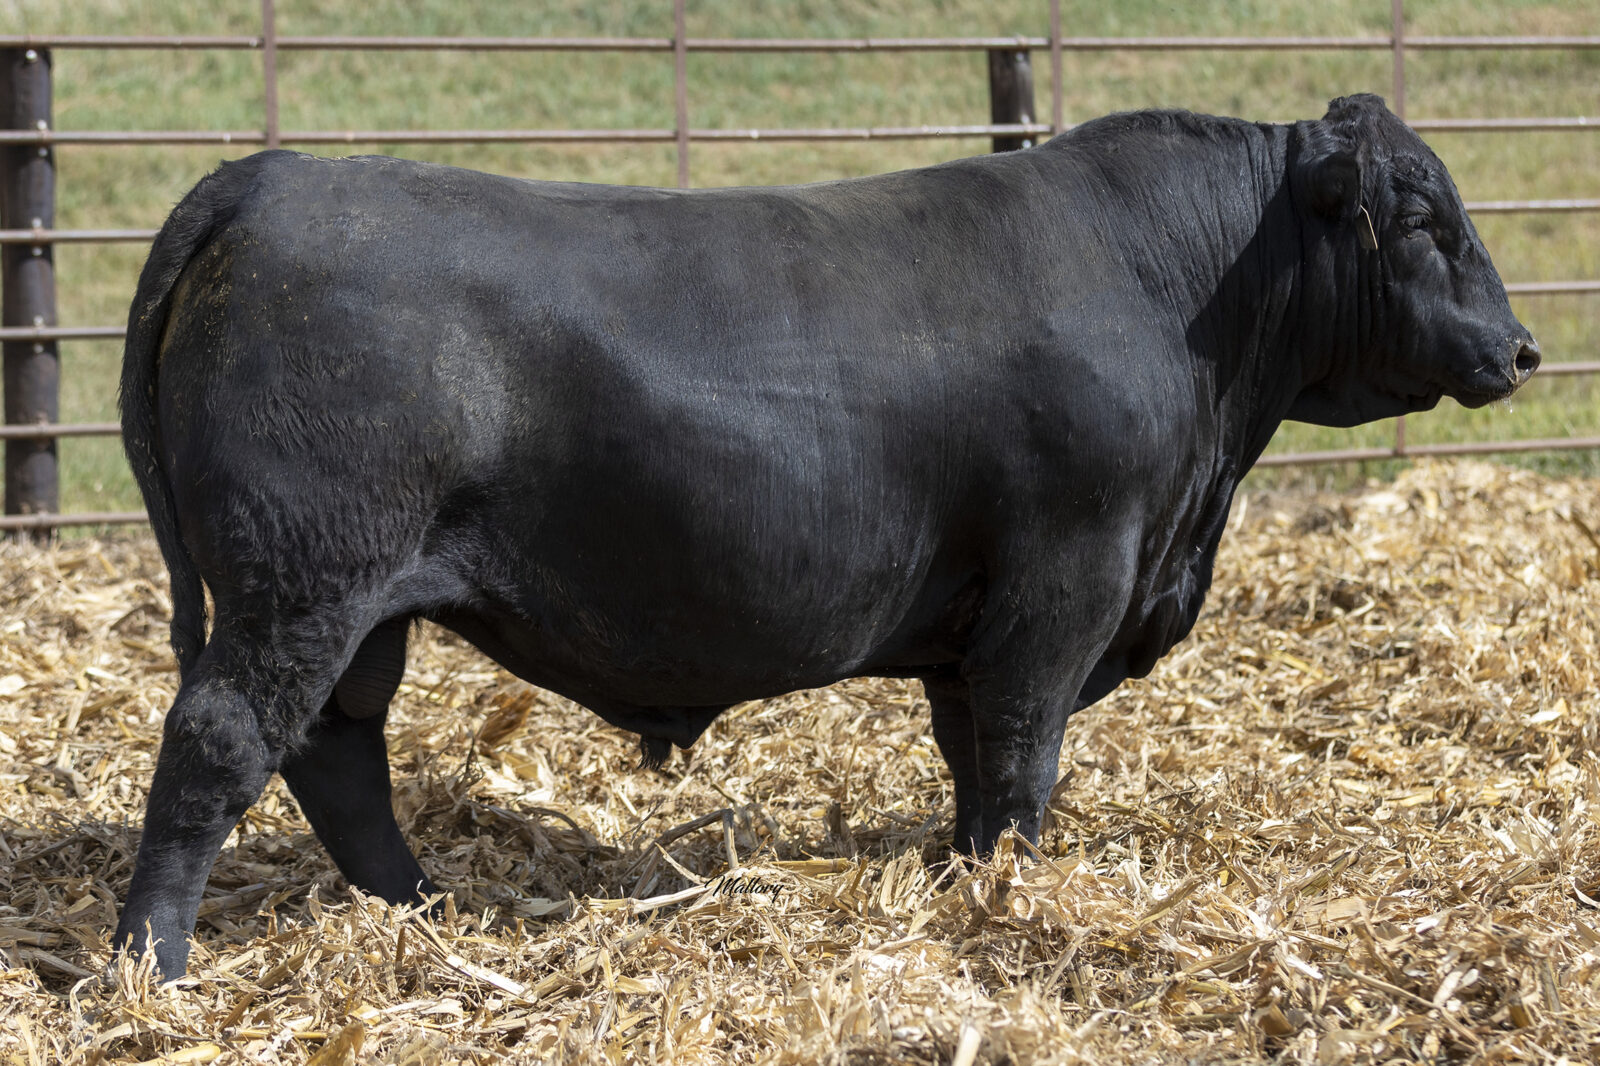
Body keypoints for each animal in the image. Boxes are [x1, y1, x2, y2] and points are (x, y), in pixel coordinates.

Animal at [114, 94, 1537, 978]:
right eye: (1420, 219)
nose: (1520, 349)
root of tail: (277, 175)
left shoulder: (982, 618)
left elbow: (973, 758)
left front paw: (967, 881)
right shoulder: (1065, 581)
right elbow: (1023, 755)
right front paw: (1013, 892)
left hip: (359, 603)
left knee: (335, 750)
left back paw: (416, 910)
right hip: (301, 582)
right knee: (222, 740)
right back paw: (153, 964)